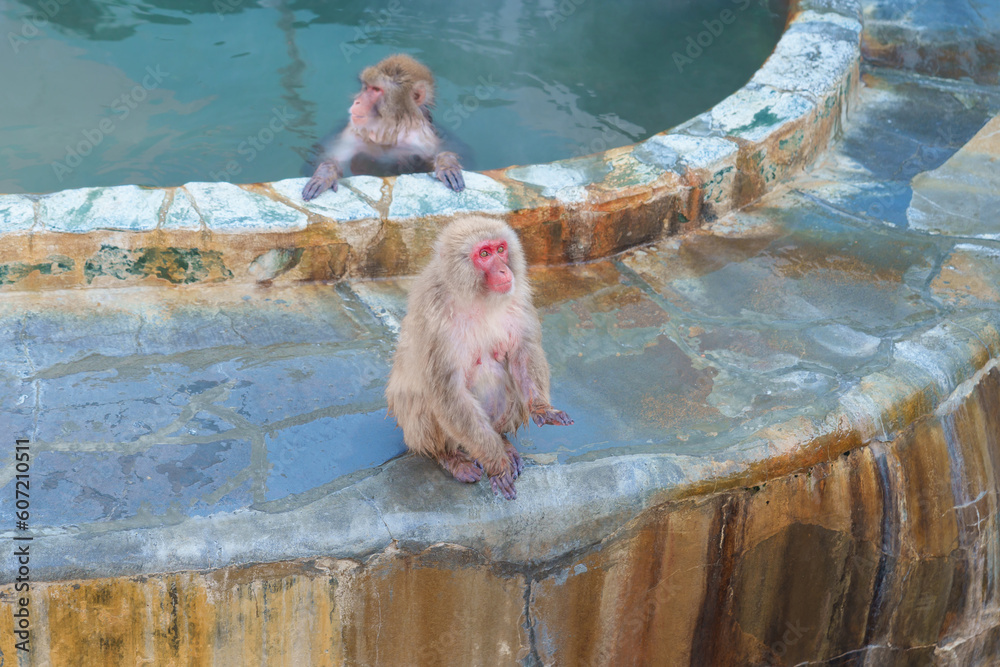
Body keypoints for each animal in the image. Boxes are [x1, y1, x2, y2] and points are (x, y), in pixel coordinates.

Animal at [302, 54, 465, 201]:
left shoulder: (423, 139)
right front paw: (325, 174)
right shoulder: (353, 131)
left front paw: (447, 164)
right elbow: (335, 158)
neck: (389, 130)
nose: (357, 101)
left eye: (376, 90)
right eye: (367, 87)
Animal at [385, 215, 572, 500]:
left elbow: (522, 353)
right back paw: (449, 456)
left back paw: (503, 441)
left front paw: (542, 408)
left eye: (500, 249)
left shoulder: (518, 298)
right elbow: (448, 392)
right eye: (483, 254)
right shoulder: (435, 320)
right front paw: (497, 464)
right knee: (422, 400)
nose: (504, 272)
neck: (477, 297)